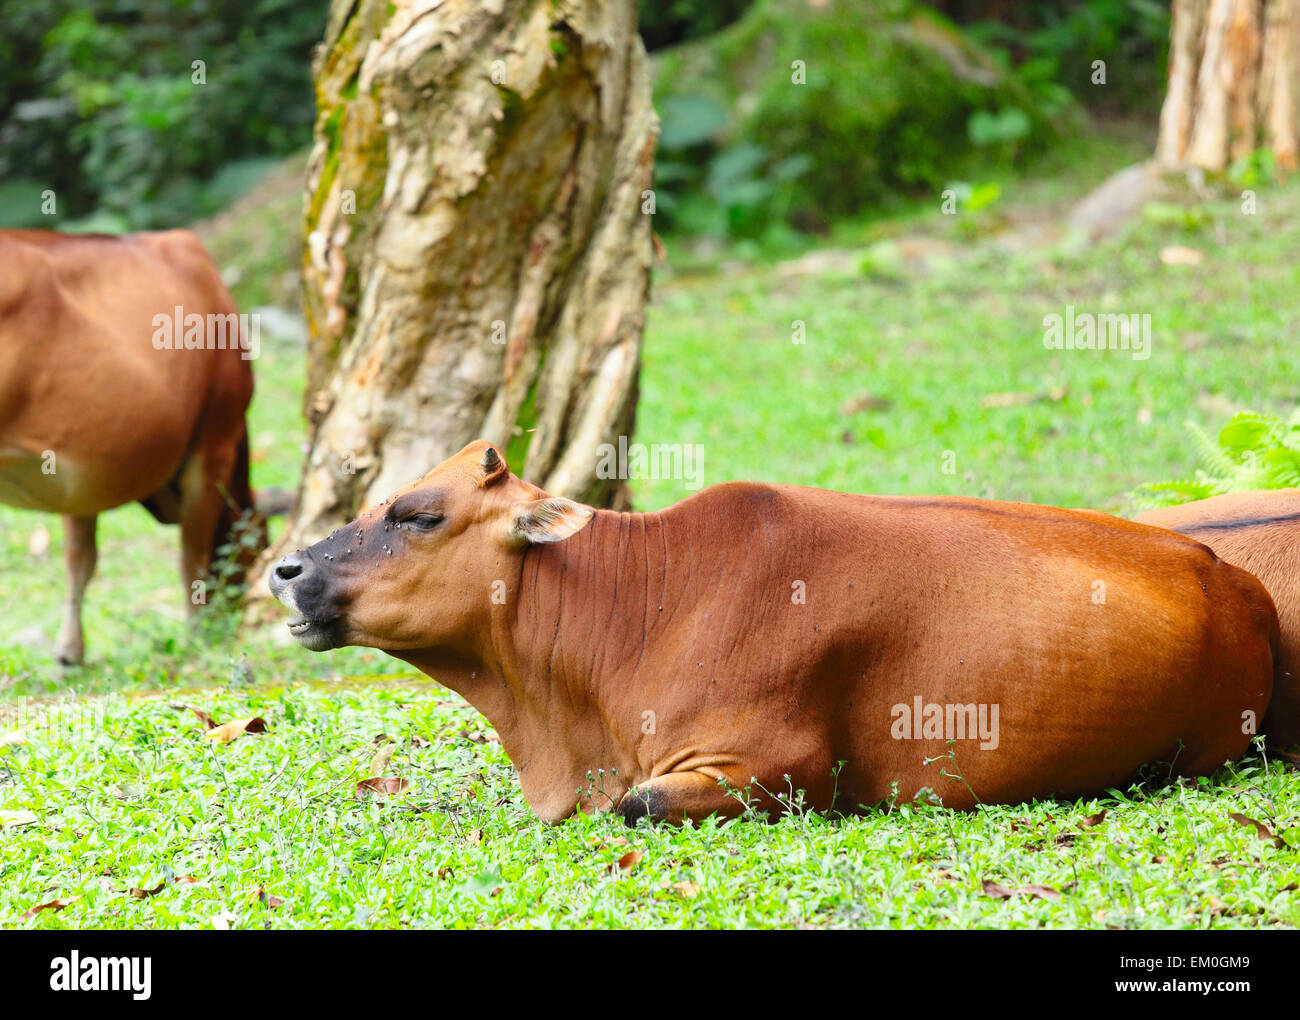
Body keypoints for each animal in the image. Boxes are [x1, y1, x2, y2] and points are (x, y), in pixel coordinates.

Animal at [0, 228, 263, 665]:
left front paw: (70, 653)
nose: (230, 626)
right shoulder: (213, 446)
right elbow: (192, 555)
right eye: (257, 553)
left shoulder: (76, 474)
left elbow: (80, 559)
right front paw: (197, 635)